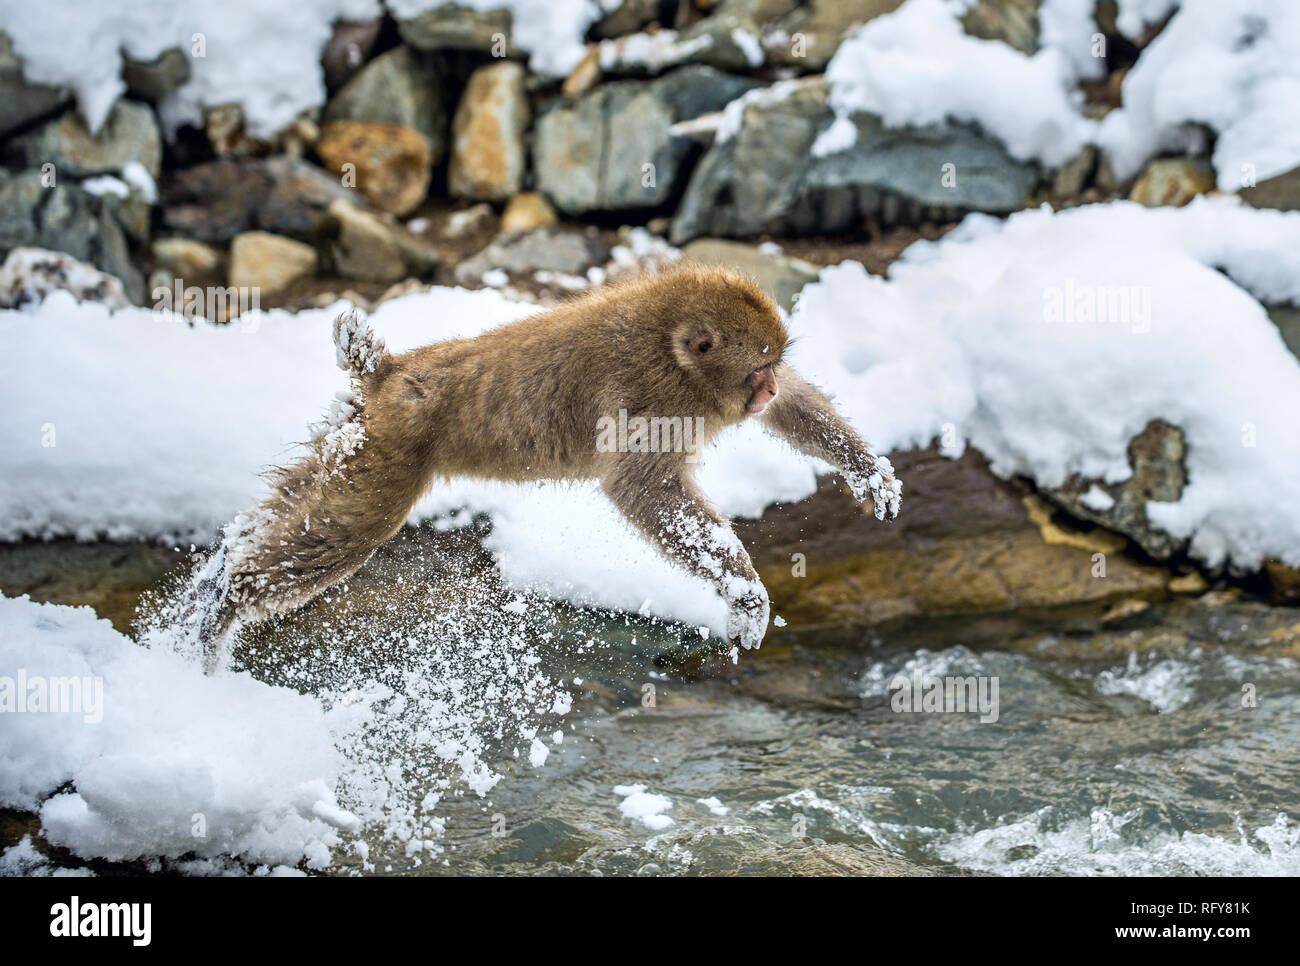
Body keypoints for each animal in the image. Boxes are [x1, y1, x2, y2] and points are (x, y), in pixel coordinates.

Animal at [184, 267, 901, 673]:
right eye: (758, 367)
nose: (767, 386)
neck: (670, 350)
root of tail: (389, 371)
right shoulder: (647, 402)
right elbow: (641, 491)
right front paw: (747, 595)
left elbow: (793, 409)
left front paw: (869, 471)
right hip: (392, 451)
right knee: (345, 531)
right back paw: (224, 608)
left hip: (357, 435)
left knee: (306, 504)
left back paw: (215, 582)